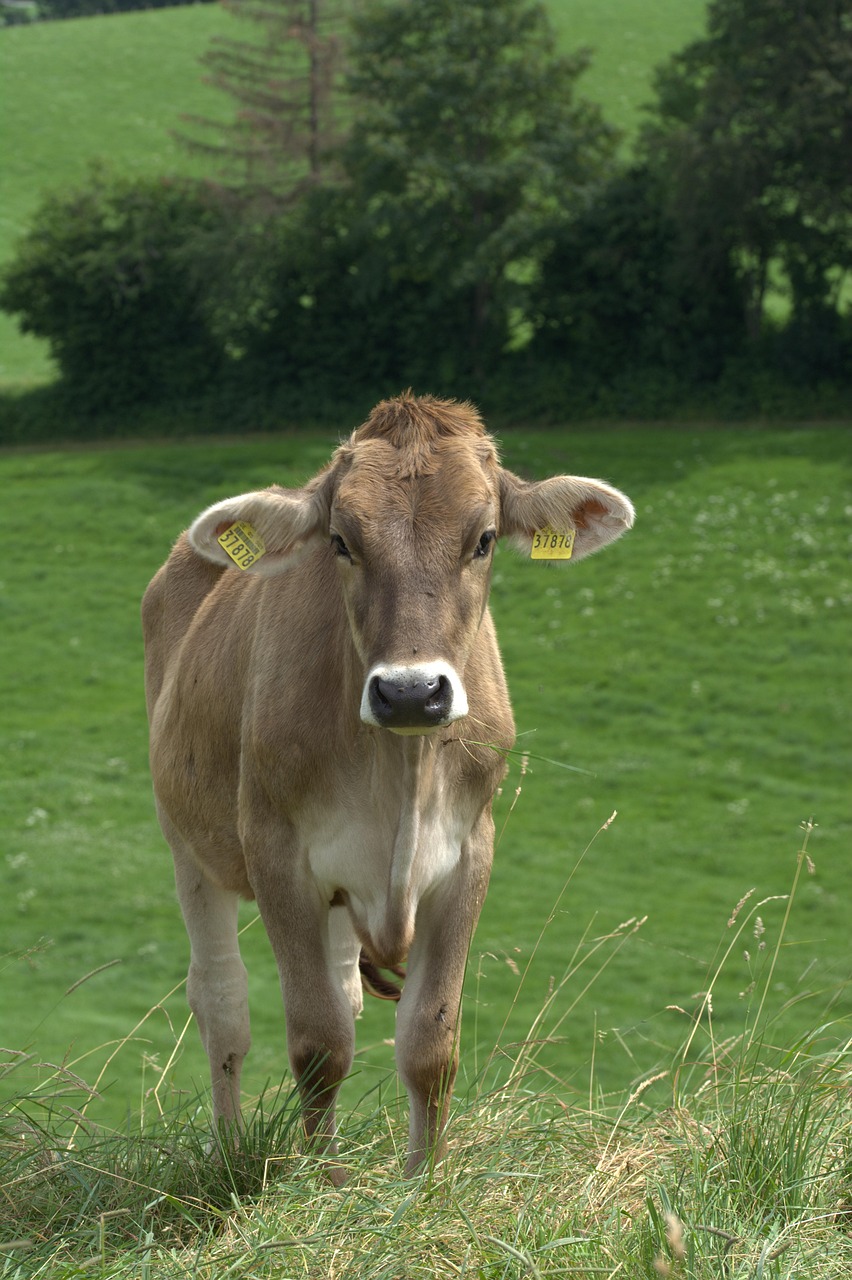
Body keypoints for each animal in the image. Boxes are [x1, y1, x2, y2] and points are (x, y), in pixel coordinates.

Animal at [142, 393, 634, 1180]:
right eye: (341, 541)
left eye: (484, 539)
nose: (411, 693)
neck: (401, 771)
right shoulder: (277, 854)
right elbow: (318, 1042)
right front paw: (322, 1184)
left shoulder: (467, 856)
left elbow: (429, 1044)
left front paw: (421, 1185)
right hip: (188, 843)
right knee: (222, 1003)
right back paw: (232, 1150)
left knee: (343, 990)